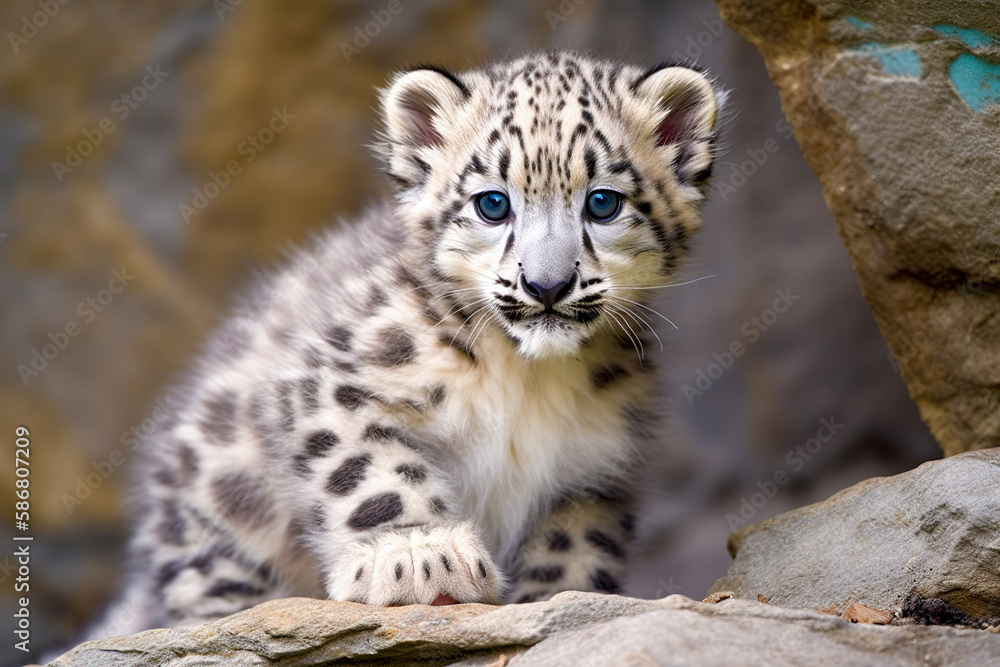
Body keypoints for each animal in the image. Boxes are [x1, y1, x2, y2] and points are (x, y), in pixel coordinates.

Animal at [90, 50, 724, 637]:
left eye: (603, 202)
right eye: (492, 203)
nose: (546, 285)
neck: (529, 375)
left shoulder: (598, 465)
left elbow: (575, 543)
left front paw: (553, 600)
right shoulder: (327, 378)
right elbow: (368, 466)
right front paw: (419, 555)